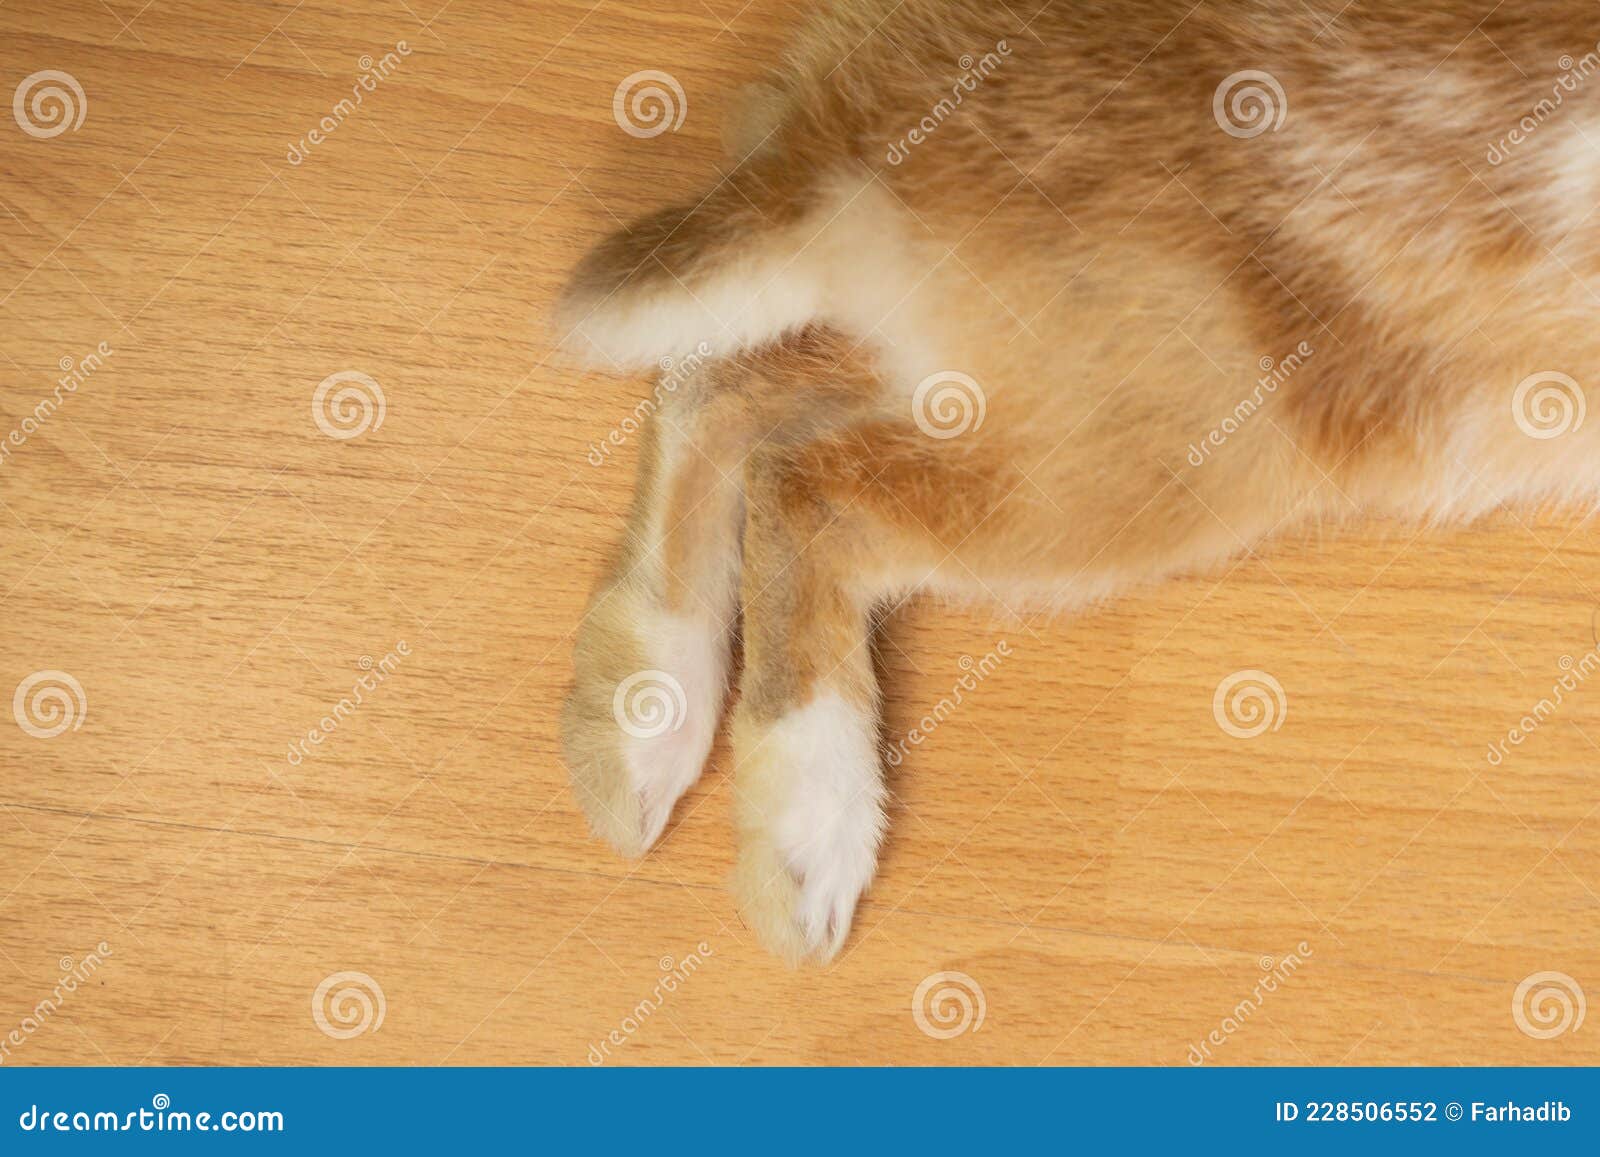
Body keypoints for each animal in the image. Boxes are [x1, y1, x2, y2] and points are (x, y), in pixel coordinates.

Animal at [558, 0, 1600, 964]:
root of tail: (840, 151)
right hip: (1153, 455)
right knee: (804, 485)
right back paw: (805, 848)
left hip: (957, 368)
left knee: (721, 393)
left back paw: (639, 730)